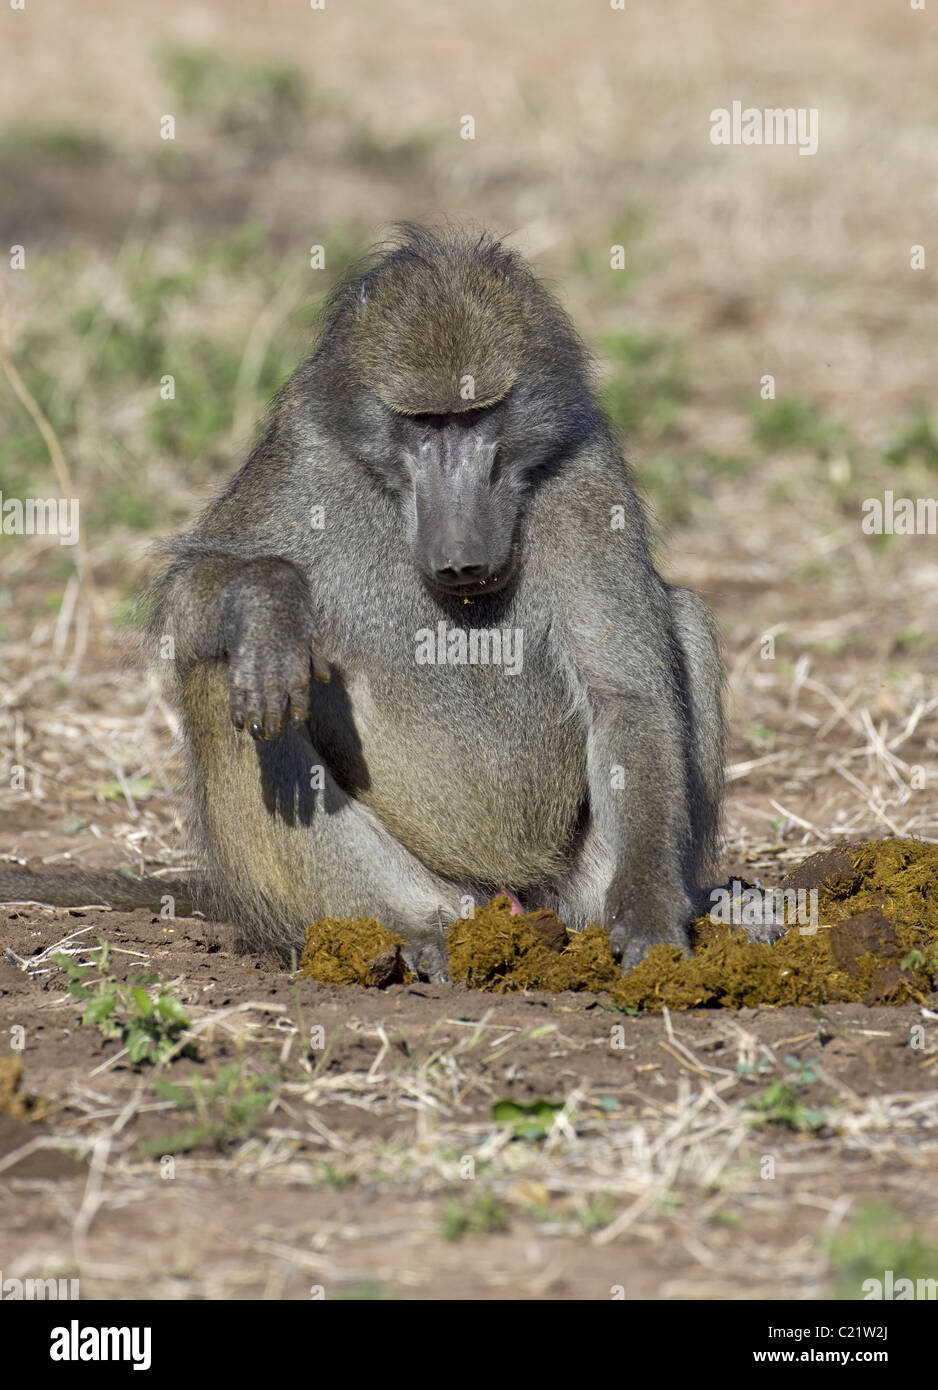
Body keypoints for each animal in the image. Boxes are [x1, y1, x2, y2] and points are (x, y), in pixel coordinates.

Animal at [2, 226, 729, 980]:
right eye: (424, 423)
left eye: (479, 416)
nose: (461, 554)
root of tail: (506, 901)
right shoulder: (306, 454)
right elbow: (191, 591)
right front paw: (268, 604)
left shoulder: (586, 469)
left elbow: (628, 697)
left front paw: (649, 914)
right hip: (409, 892)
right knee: (223, 673)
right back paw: (405, 934)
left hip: (570, 889)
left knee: (687, 621)